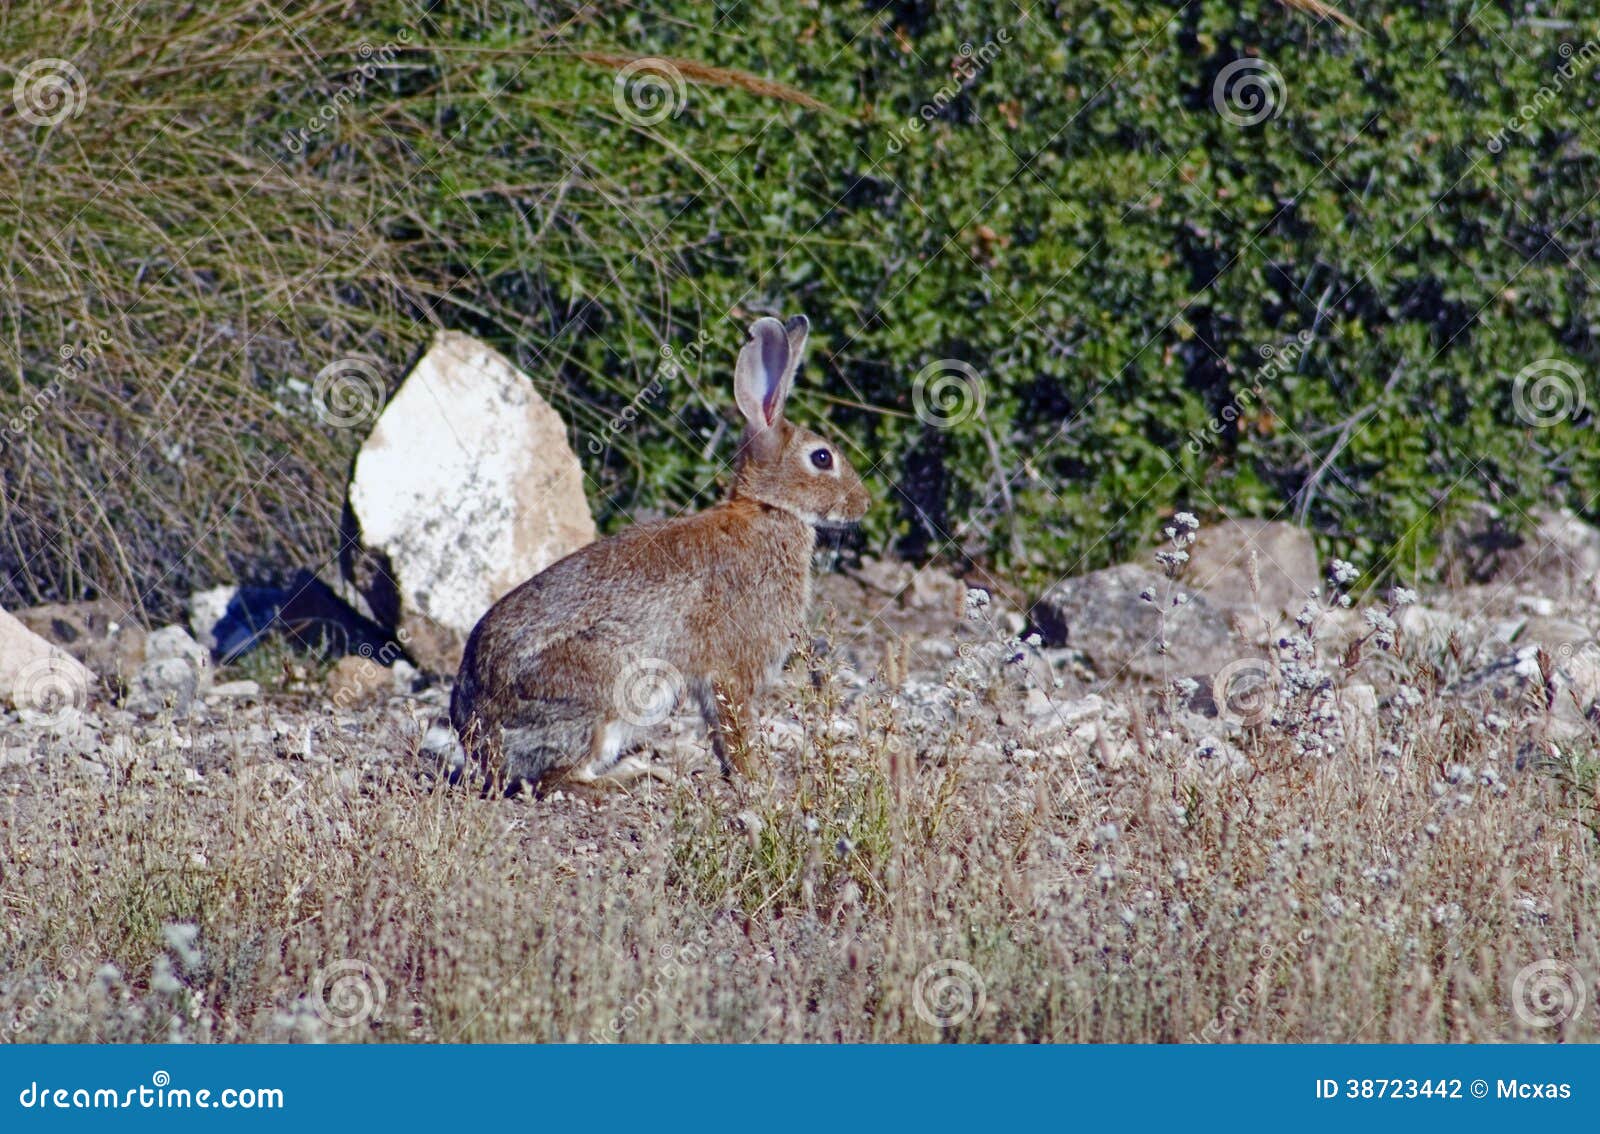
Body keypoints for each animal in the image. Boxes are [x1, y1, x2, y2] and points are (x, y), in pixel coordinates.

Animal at [450, 313, 869, 795]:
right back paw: (640, 775)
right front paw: (757, 780)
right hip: (610, 690)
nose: (864, 504)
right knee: (561, 778)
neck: (766, 509)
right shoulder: (733, 668)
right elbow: (736, 725)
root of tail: (478, 741)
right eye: (822, 458)